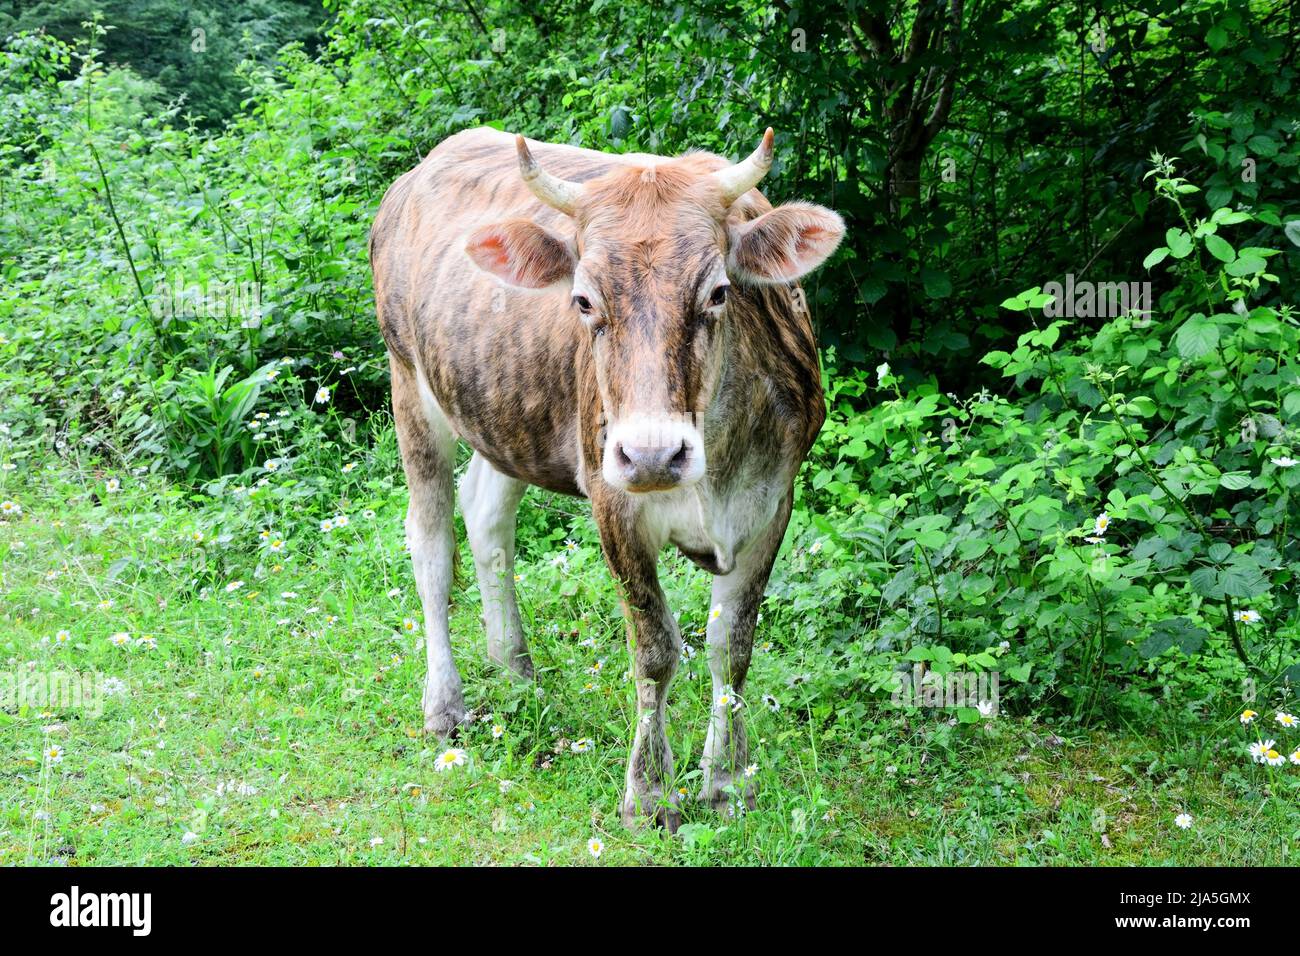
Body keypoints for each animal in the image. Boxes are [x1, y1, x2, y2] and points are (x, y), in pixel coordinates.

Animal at [369, 126, 843, 829]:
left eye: (719, 292)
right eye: (584, 299)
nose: (652, 455)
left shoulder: (771, 501)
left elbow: (732, 644)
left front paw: (727, 782)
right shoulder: (611, 501)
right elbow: (655, 648)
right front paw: (648, 794)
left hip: (506, 410)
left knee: (486, 515)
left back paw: (515, 668)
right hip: (409, 381)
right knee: (431, 546)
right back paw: (445, 705)